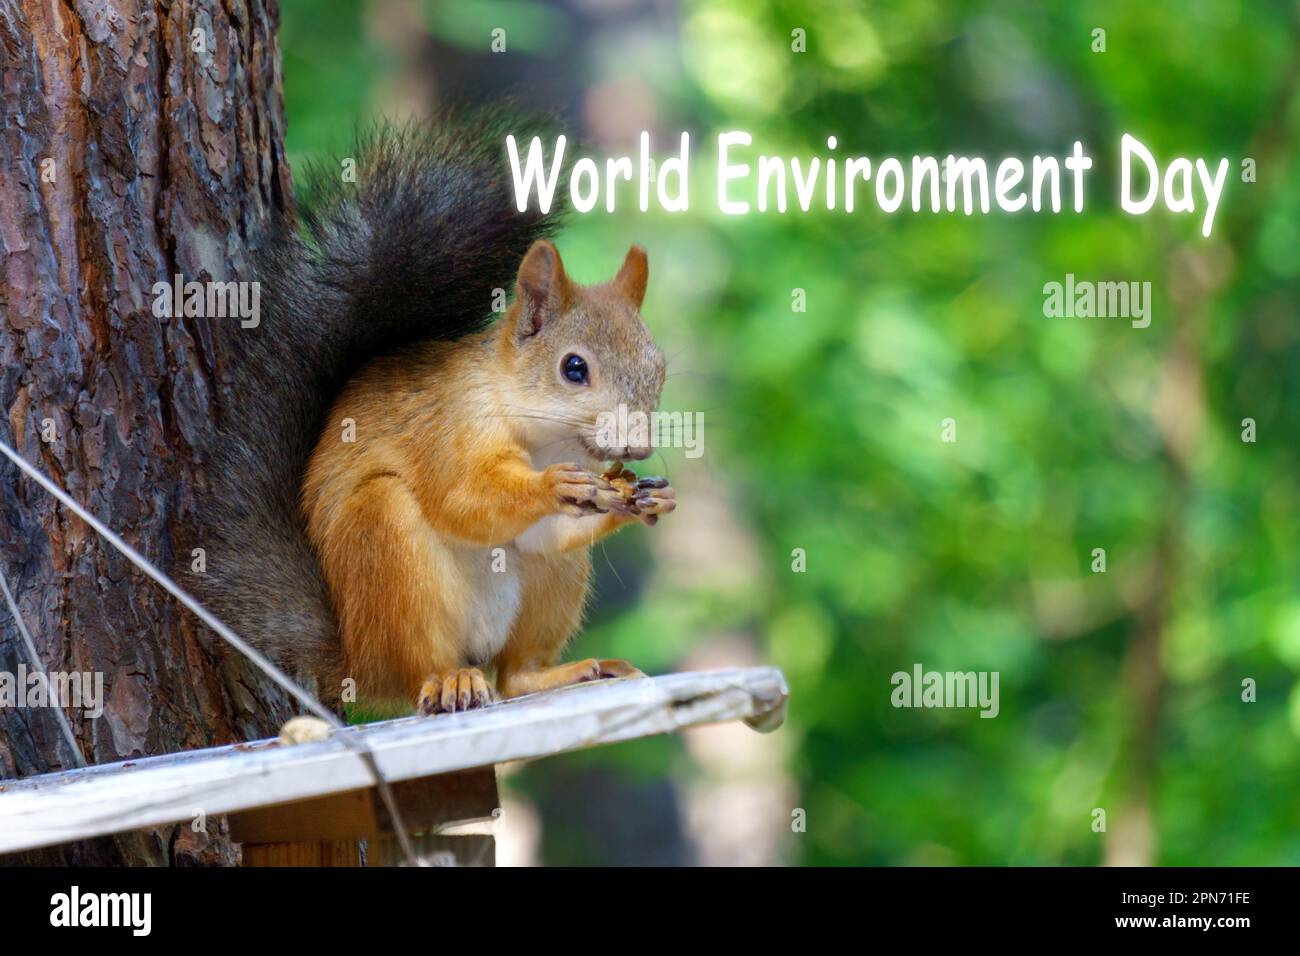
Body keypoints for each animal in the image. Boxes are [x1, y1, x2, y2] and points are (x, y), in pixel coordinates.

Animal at [196, 114, 672, 716]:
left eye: (659, 369)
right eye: (574, 368)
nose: (637, 446)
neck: (540, 435)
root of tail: (357, 659)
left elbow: (545, 534)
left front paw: (641, 497)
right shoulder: (448, 425)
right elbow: (461, 498)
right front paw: (555, 486)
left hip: (552, 585)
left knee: (514, 673)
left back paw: (560, 673)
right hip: (386, 545)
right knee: (422, 666)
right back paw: (447, 680)